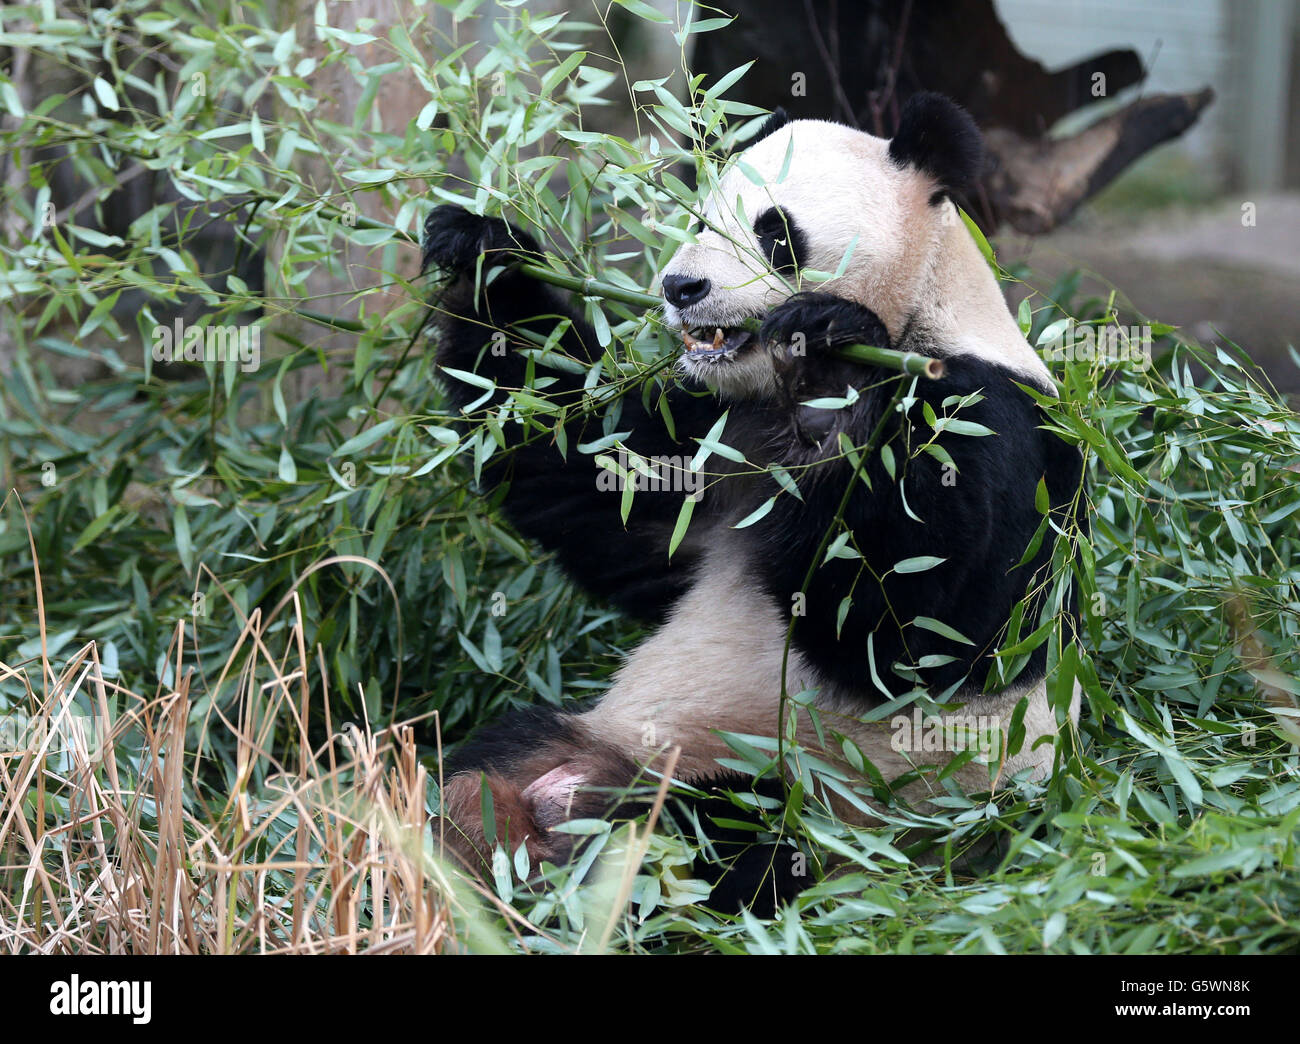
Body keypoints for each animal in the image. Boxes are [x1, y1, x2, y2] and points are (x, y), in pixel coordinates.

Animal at [421, 93, 1085, 913]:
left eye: (775, 230)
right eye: (702, 219)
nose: (680, 287)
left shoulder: (994, 423)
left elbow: (926, 627)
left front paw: (830, 366)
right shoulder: (717, 440)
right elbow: (591, 473)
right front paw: (482, 254)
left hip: (830, 811)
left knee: (726, 847)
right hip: (580, 737)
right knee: (484, 762)